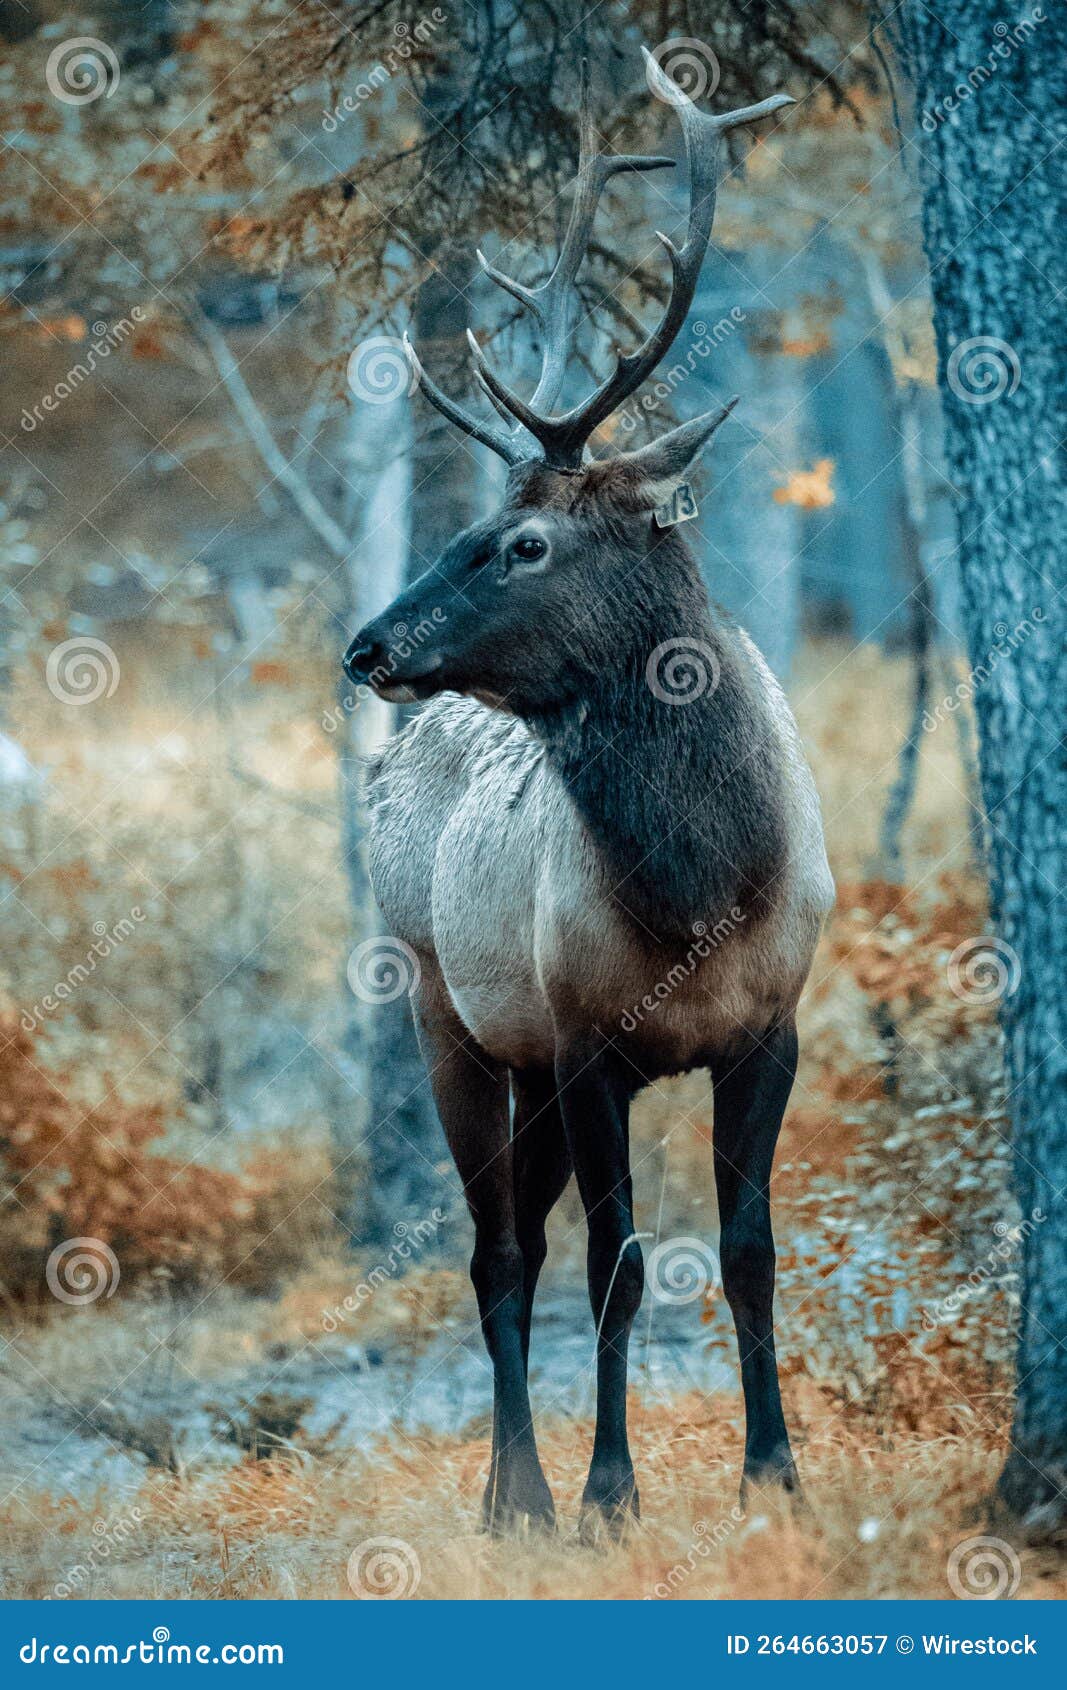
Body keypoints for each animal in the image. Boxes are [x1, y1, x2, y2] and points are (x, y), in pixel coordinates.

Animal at [343, 46, 834, 1541]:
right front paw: (613, 1489)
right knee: (497, 1254)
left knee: (517, 1237)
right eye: (472, 521)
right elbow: (614, 1265)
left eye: (520, 541)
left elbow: (745, 1248)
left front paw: (773, 1474)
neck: (701, 889)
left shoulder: (770, 1027)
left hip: (522, 1063)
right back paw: (519, 1494)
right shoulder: (586, 1040)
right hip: (448, 1006)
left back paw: (516, 1487)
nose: (365, 647)